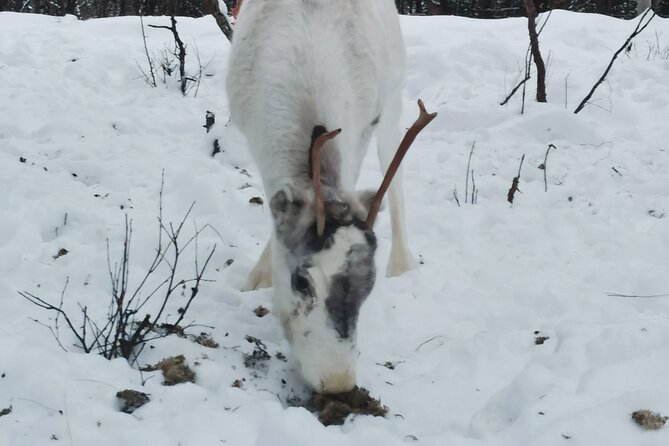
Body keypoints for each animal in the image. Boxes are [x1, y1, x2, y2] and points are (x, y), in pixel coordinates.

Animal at [226, 0, 436, 394]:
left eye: (368, 287)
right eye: (301, 281)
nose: (338, 382)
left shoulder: (363, 130)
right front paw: (257, 279)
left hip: (393, 102)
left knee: (395, 176)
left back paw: (402, 263)